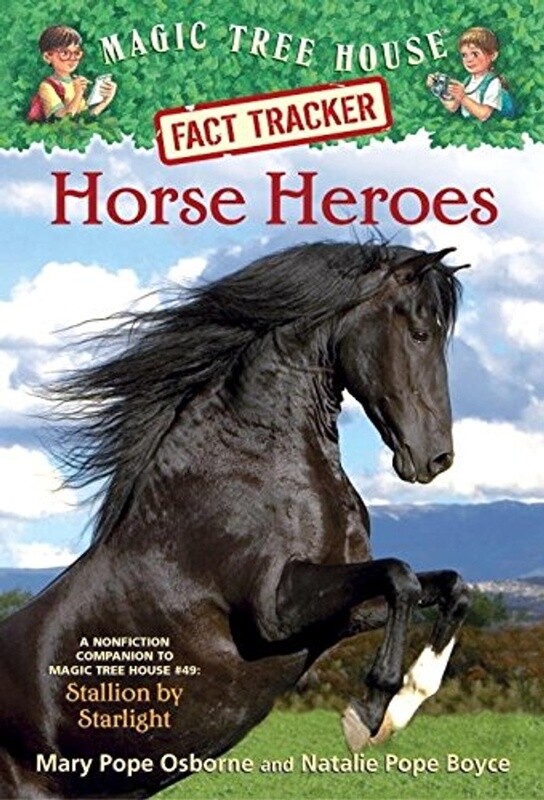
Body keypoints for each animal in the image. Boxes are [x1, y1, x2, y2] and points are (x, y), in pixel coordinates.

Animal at [0, 240, 471, 799]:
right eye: (420, 333)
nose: (437, 458)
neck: (252, 462)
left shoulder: (344, 612)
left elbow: (449, 588)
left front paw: (401, 707)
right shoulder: (274, 610)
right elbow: (400, 576)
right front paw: (367, 716)